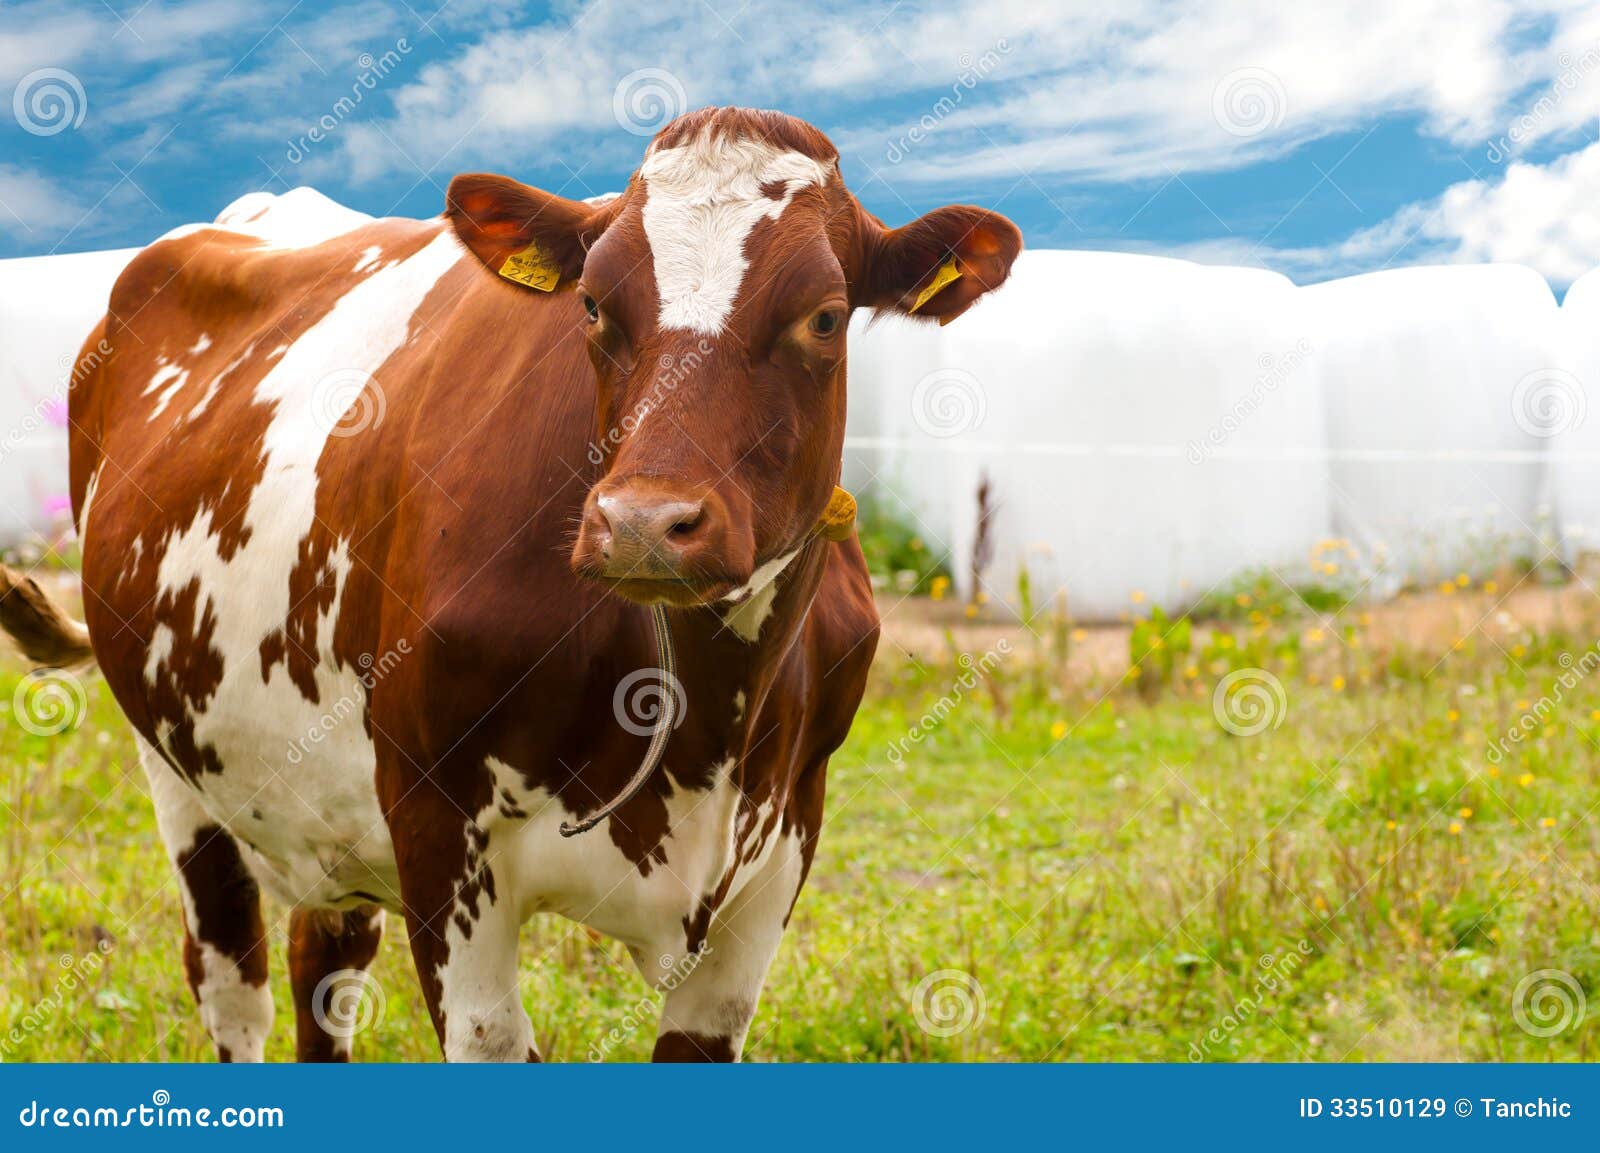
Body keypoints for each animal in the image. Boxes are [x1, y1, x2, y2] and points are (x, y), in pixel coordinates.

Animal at [0, 107, 1020, 1061]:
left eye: (824, 315)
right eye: (595, 307)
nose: (644, 523)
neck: (702, 724)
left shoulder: (777, 856)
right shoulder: (436, 829)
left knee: (320, 963)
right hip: (174, 766)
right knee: (231, 981)